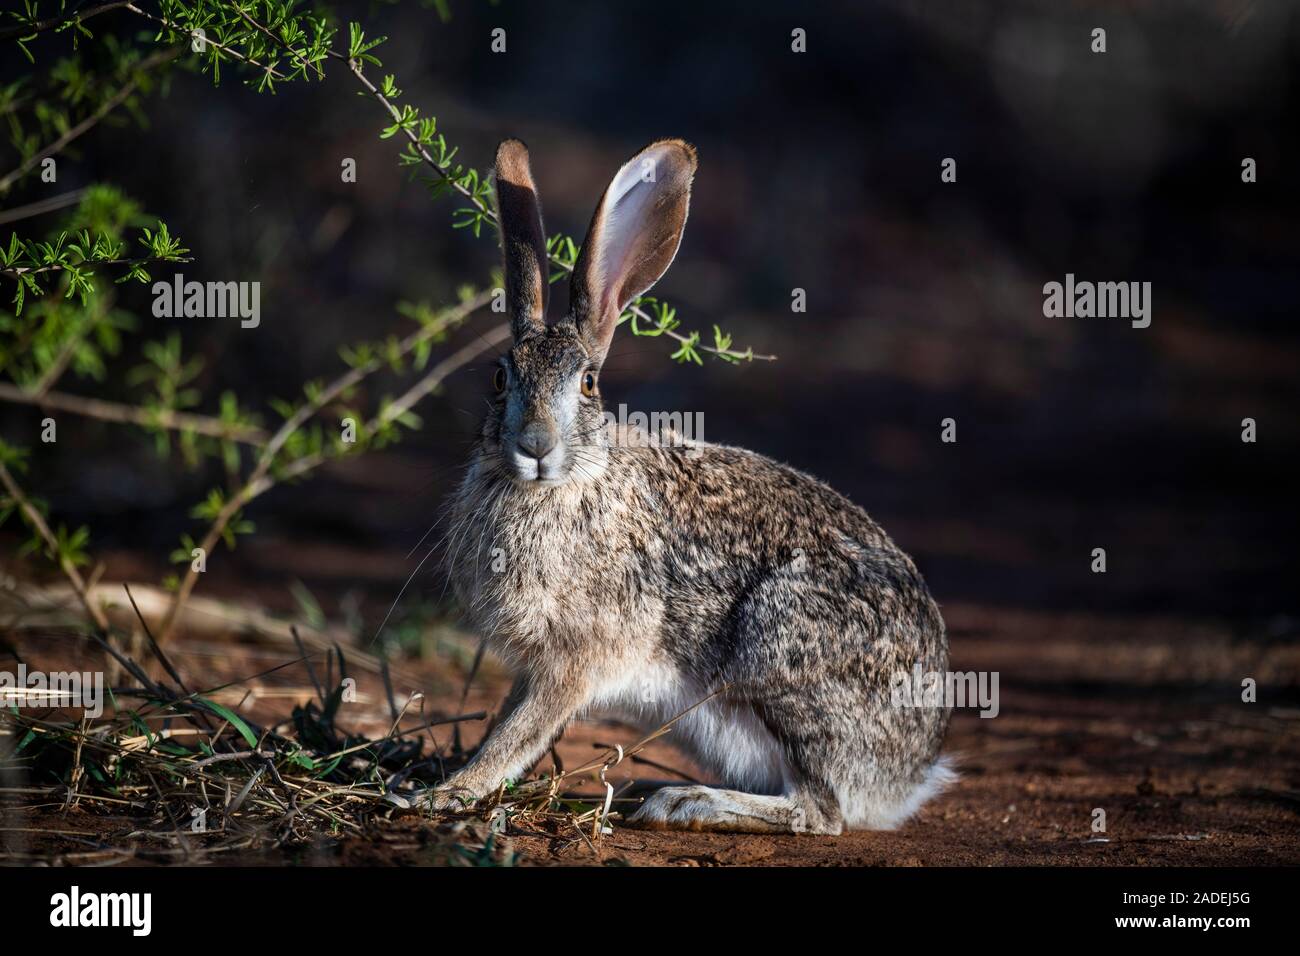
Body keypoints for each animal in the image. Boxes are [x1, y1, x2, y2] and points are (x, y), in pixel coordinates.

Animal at [434, 137, 953, 833]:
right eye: (498, 378)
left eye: (589, 384)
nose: (535, 445)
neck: (564, 486)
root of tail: (912, 773)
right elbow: (510, 720)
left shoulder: (573, 661)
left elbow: (517, 733)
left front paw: (446, 792)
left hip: (778, 653)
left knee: (821, 811)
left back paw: (681, 801)